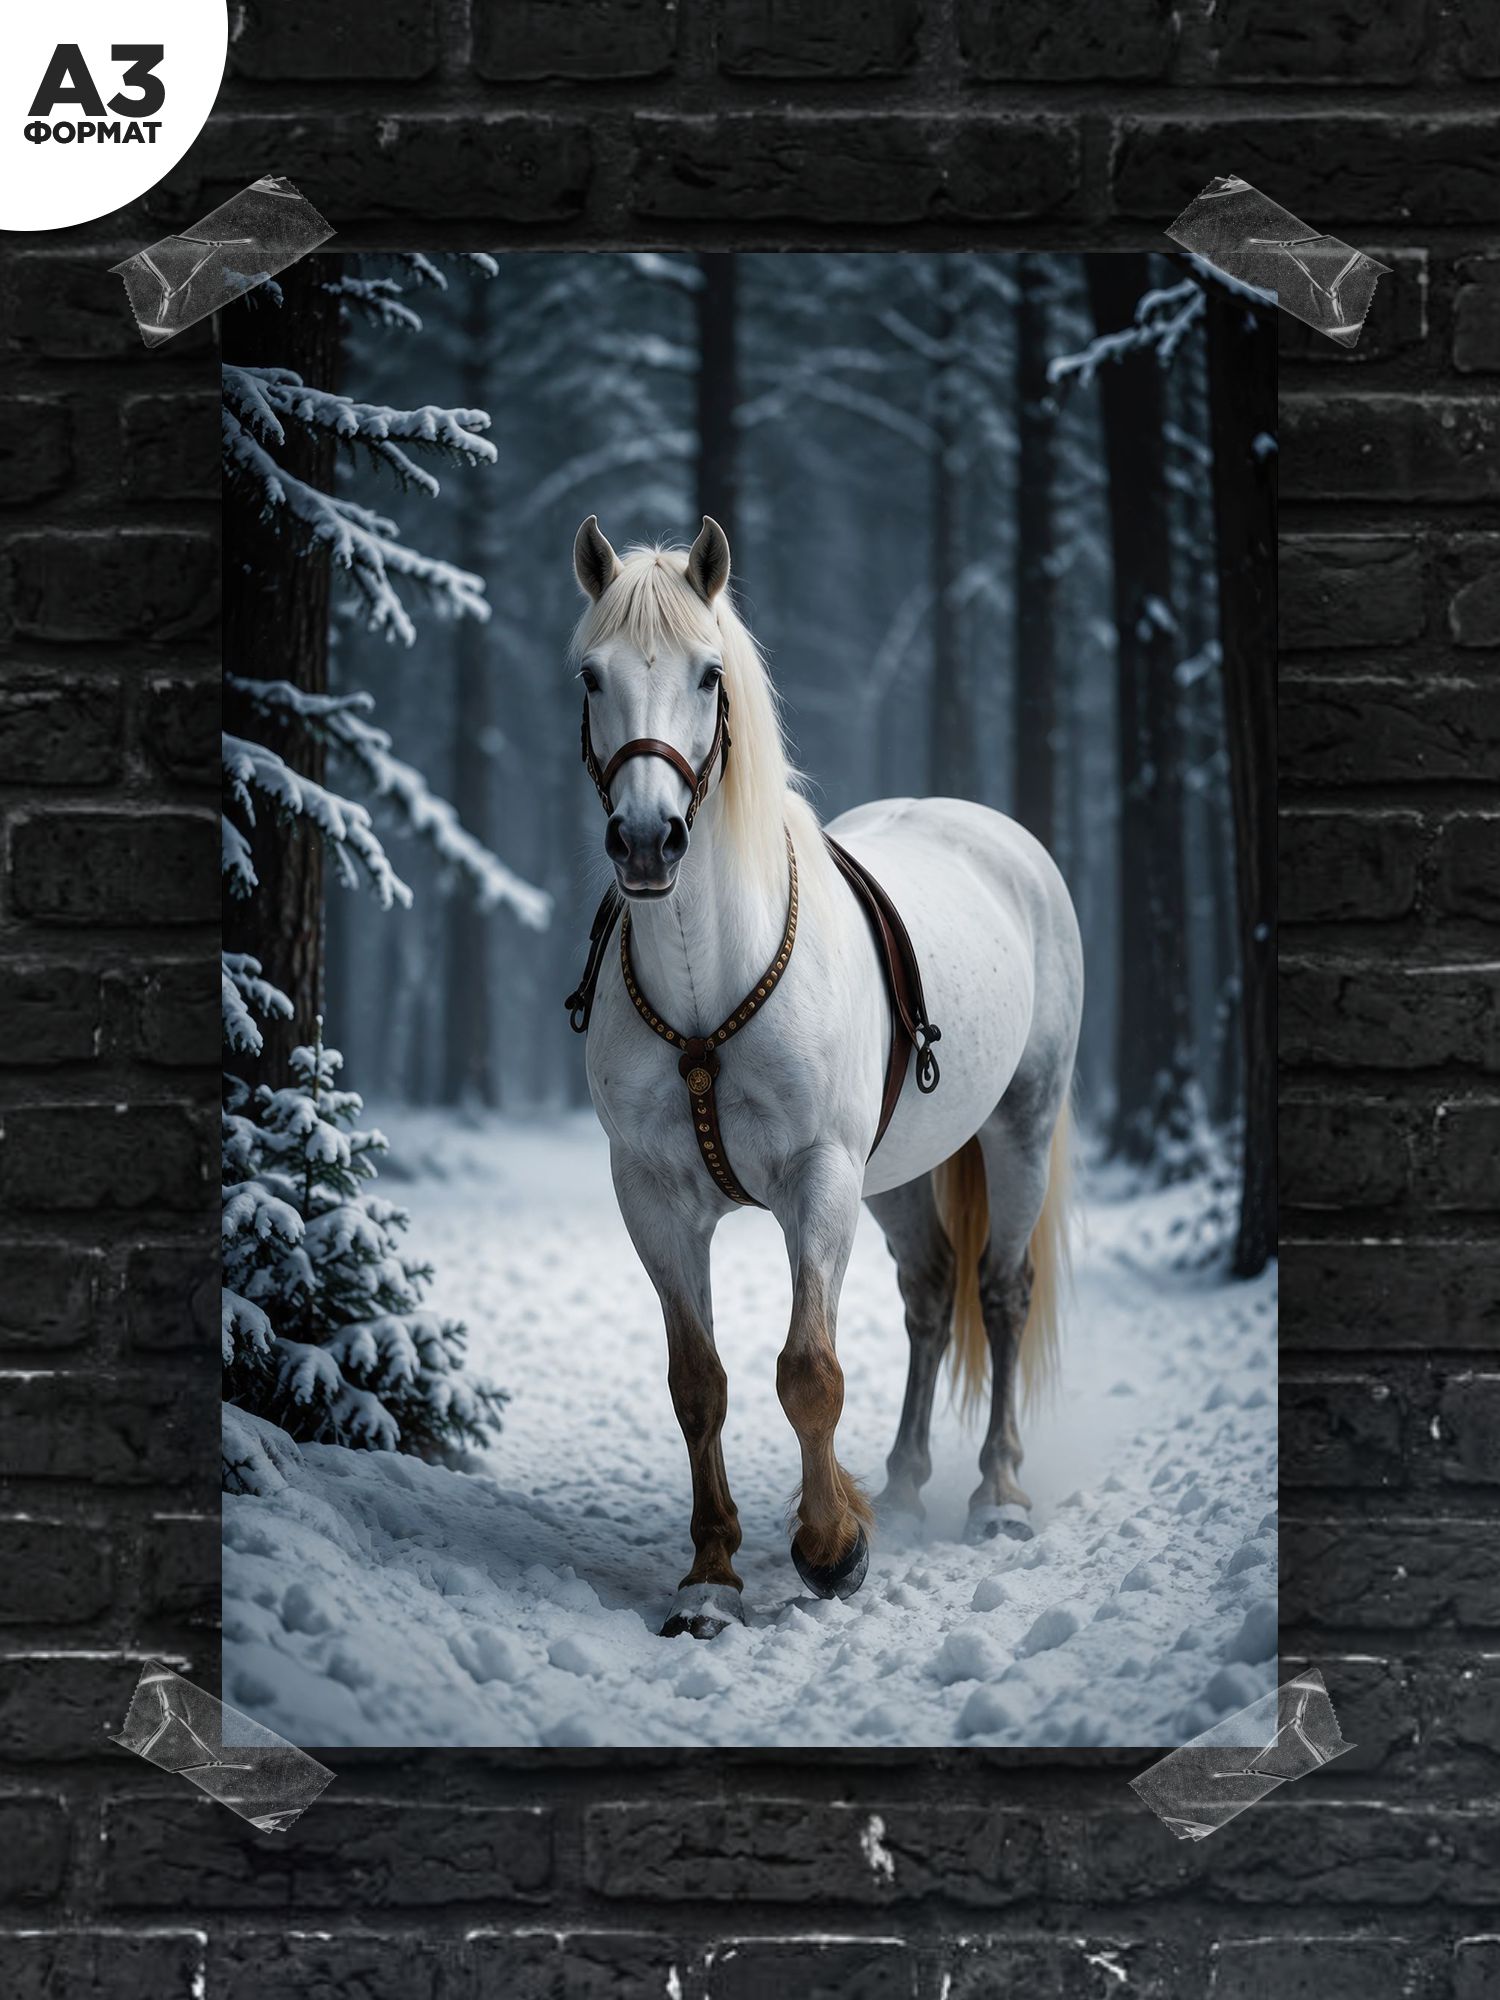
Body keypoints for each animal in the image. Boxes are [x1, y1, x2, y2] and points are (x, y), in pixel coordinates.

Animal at [565, 514, 1084, 1640]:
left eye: (710, 673)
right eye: (590, 674)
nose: (646, 840)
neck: (708, 988)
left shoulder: (819, 1179)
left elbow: (807, 1370)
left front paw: (832, 1551)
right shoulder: (653, 1198)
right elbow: (698, 1381)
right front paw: (711, 1575)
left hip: (1018, 1126)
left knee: (1001, 1292)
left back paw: (998, 1493)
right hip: (897, 1176)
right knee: (930, 1294)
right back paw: (903, 1481)